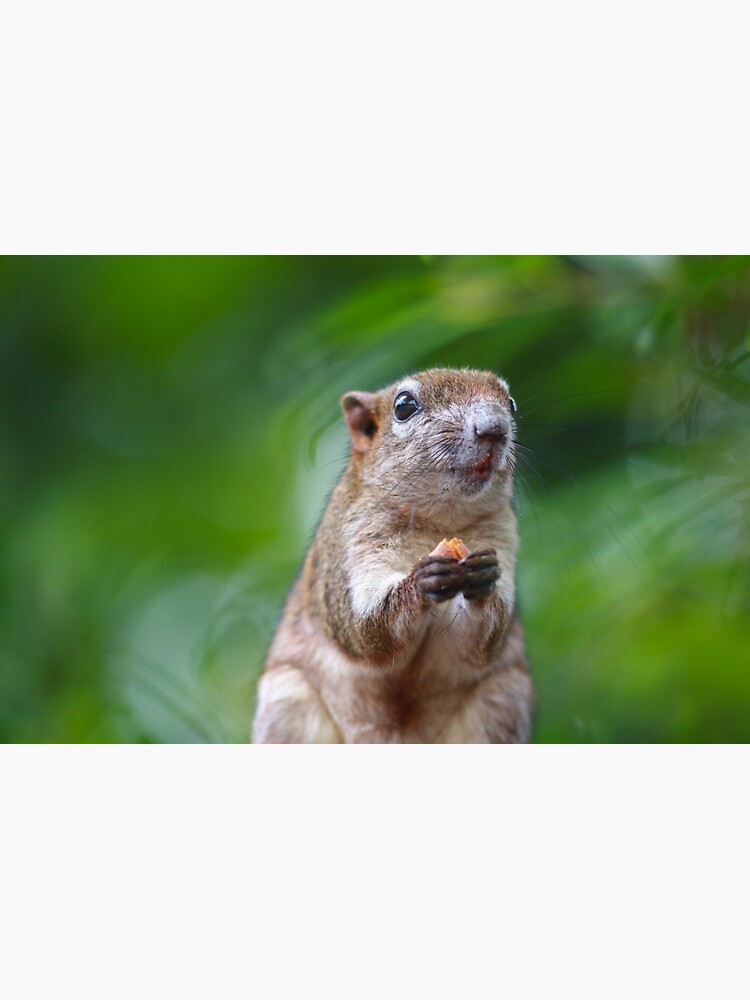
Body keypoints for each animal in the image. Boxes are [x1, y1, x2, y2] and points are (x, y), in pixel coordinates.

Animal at [252, 367, 534, 743]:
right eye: (404, 407)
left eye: (512, 403)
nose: (494, 427)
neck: (437, 524)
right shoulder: (350, 547)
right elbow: (366, 633)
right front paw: (419, 582)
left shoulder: (502, 536)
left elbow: (479, 643)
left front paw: (483, 580)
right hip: (287, 704)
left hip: (502, 700)